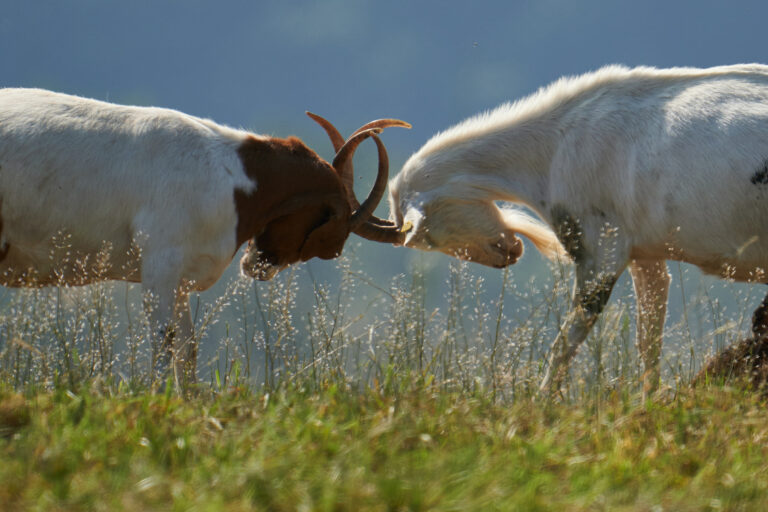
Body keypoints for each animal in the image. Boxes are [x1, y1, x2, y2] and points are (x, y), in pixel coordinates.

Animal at [0, 88, 409, 385]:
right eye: (330, 230)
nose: (259, 265)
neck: (231, 177)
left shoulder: (181, 280)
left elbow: (187, 347)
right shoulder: (160, 266)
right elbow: (164, 341)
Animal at [387, 64, 768, 397]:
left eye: (428, 237)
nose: (507, 254)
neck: (554, 145)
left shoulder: (599, 251)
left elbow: (564, 343)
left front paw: (540, 404)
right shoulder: (644, 254)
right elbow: (648, 338)